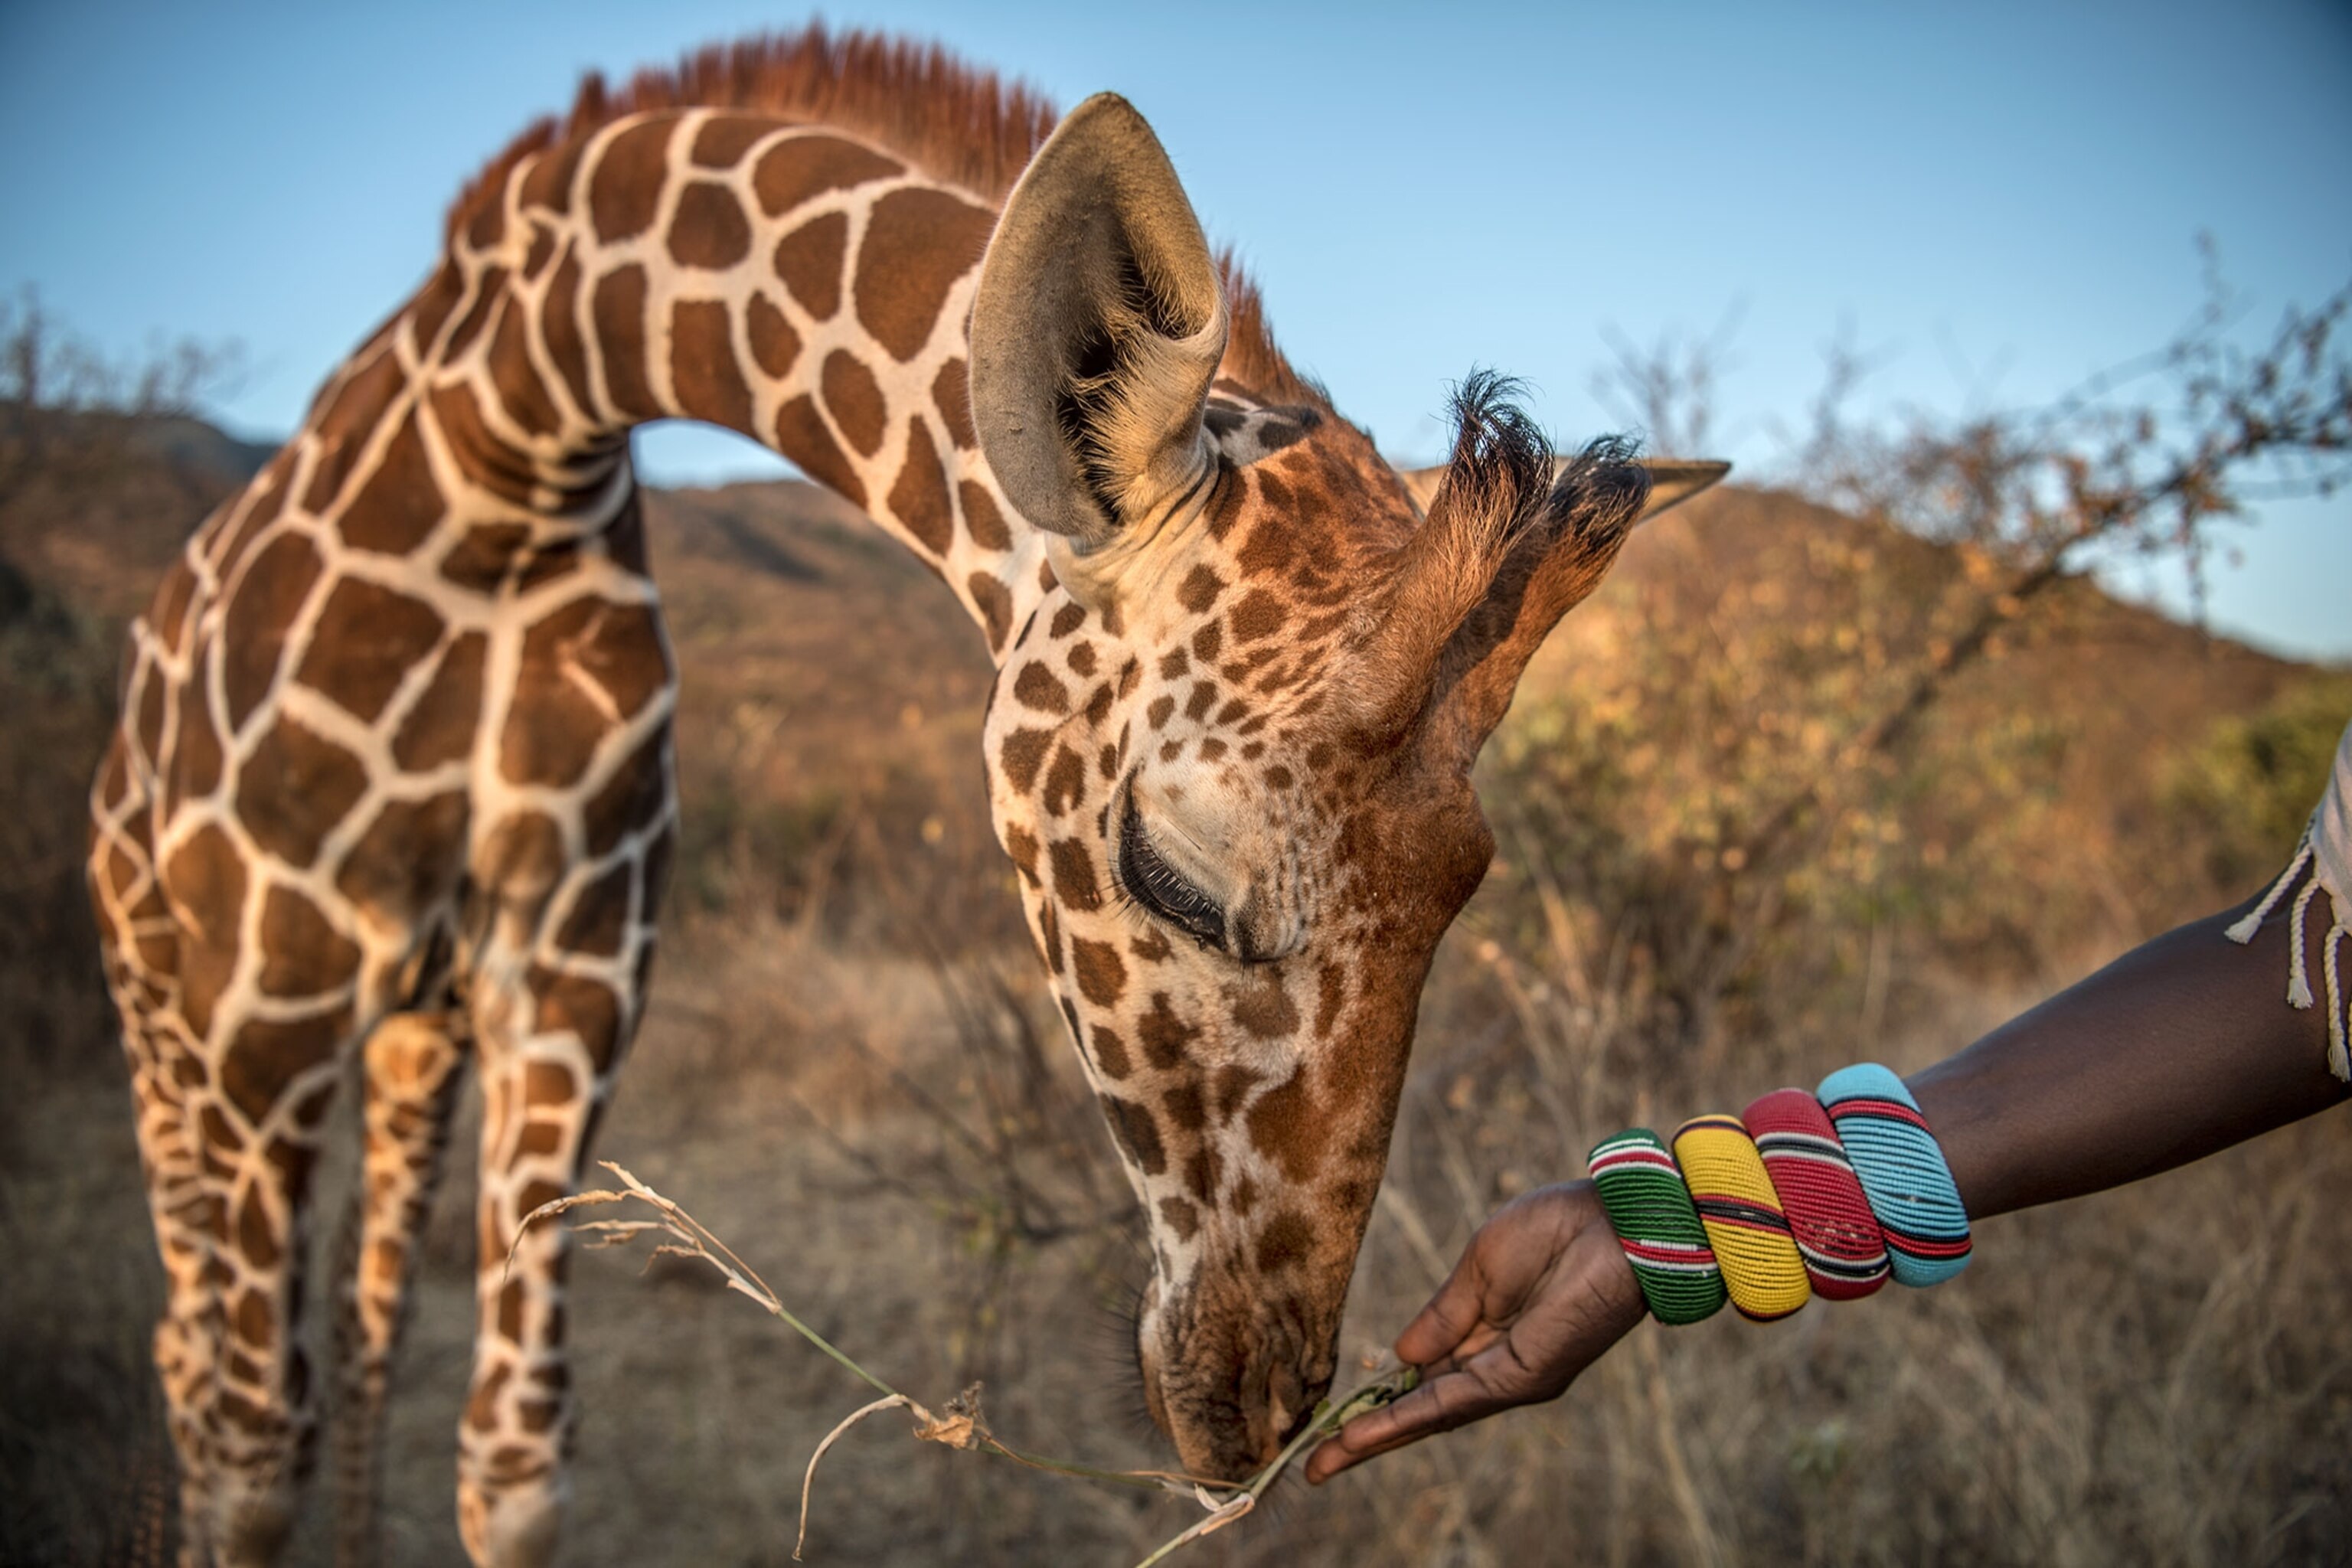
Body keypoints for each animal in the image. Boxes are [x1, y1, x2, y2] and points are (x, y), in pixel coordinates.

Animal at [84, 28, 1723, 1567]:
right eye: (1173, 876)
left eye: (1466, 885)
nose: (1257, 1407)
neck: (507, 438)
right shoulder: (259, 1021)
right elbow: (251, 1450)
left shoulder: (566, 974)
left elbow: (515, 1456)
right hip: (168, 1027)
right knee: (197, 1359)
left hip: (413, 1033)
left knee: (362, 1335)